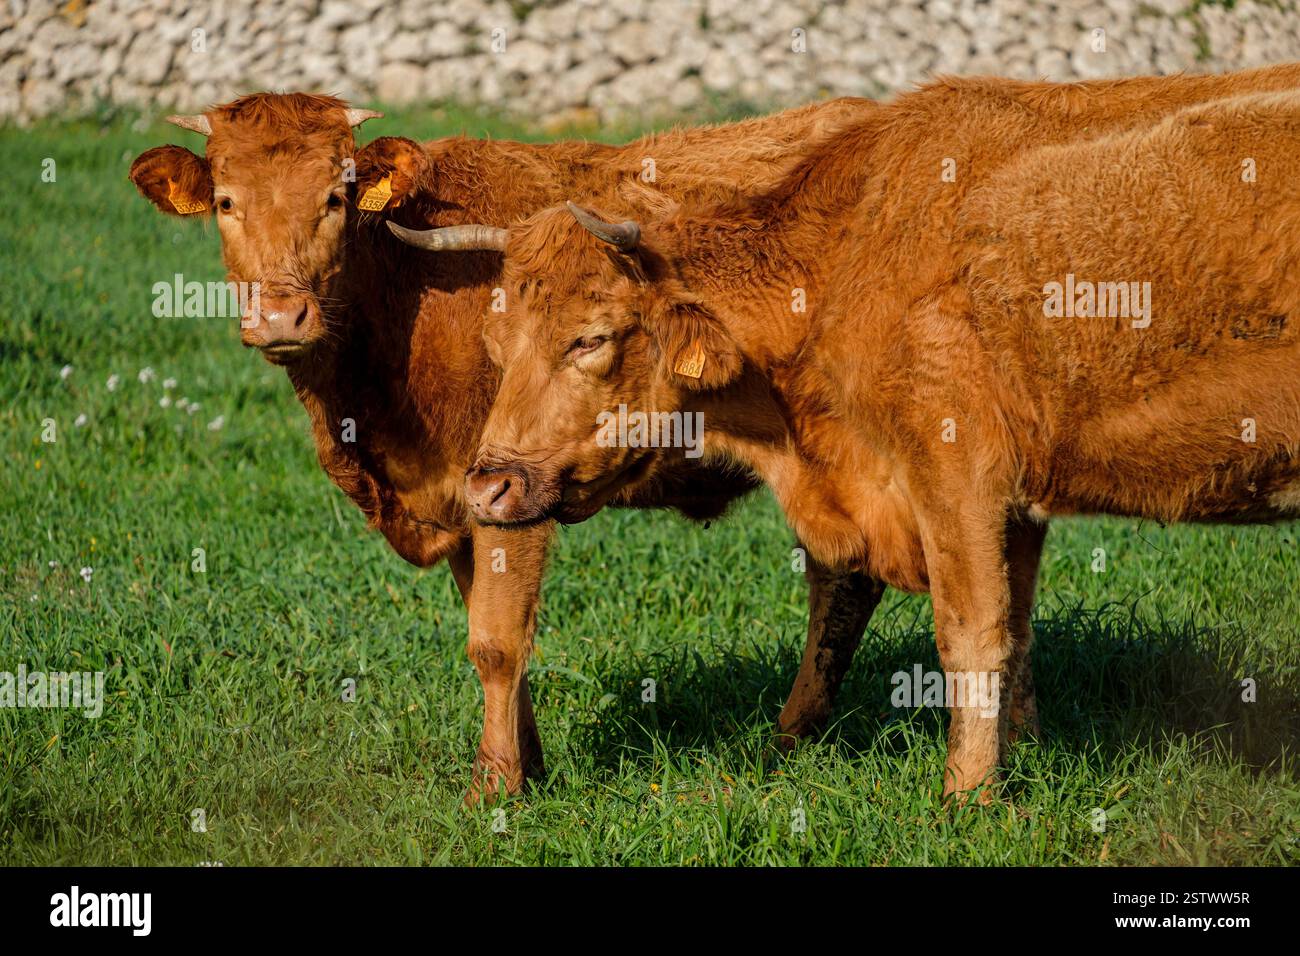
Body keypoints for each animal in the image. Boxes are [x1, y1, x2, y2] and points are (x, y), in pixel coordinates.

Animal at [127, 92, 885, 801]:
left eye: (335, 197)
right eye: (226, 201)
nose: (284, 317)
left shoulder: (508, 488)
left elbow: (495, 642)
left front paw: (491, 788)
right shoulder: (466, 498)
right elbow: (494, 632)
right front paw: (529, 767)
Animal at [410, 66, 1300, 800]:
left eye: (590, 338)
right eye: (497, 343)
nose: (489, 483)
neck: (851, 257)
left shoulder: (956, 478)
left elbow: (971, 637)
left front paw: (967, 799)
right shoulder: (1016, 506)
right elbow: (1016, 638)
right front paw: (1018, 762)